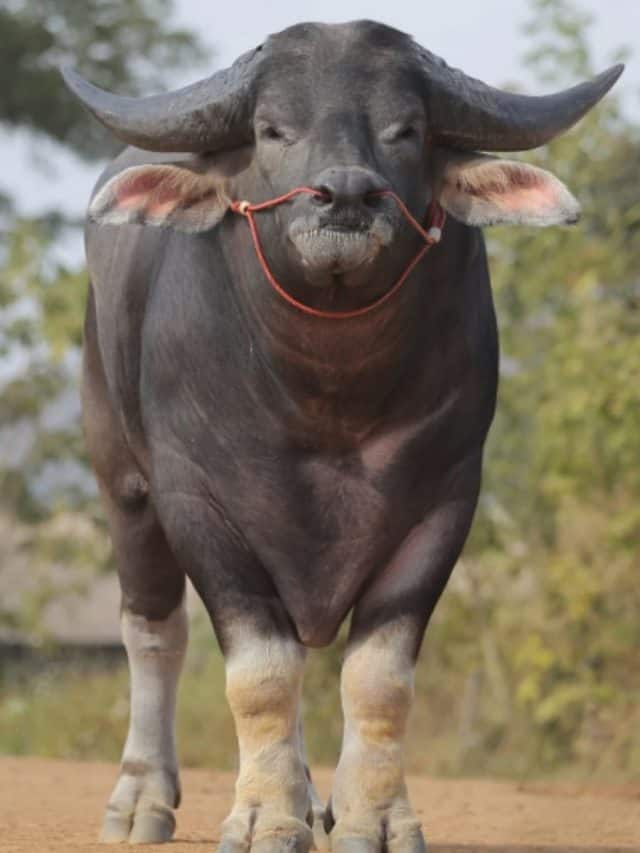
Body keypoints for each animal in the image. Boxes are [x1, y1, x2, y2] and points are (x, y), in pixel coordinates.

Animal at [62, 20, 622, 851]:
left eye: (406, 128)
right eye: (272, 129)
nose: (347, 195)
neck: (326, 389)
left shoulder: (443, 505)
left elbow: (377, 677)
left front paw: (373, 814)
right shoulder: (198, 505)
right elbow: (260, 673)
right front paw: (263, 814)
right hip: (121, 482)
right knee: (153, 629)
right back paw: (142, 798)